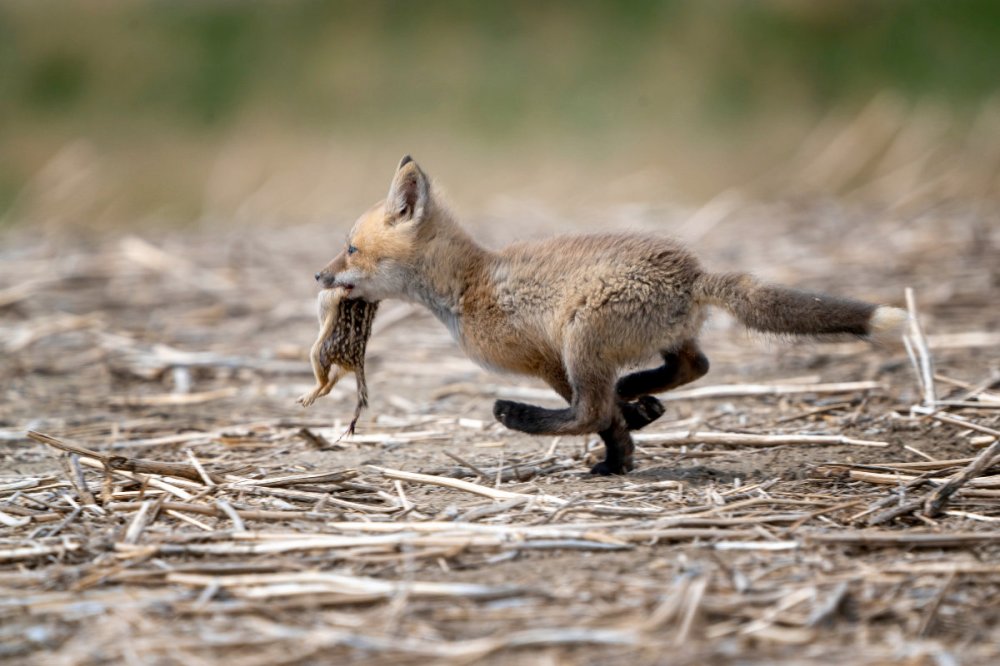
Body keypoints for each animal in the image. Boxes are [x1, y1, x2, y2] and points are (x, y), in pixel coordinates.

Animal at [314, 155, 907, 475]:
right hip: (656, 339)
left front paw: (619, 458)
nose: (318, 277)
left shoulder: (548, 359)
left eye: (350, 249)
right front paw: (631, 439)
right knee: (693, 366)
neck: (469, 284)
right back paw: (639, 394)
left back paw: (523, 417)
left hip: (583, 338)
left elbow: (601, 420)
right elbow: (619, 418)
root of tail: (692, 274)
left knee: (592, 409)